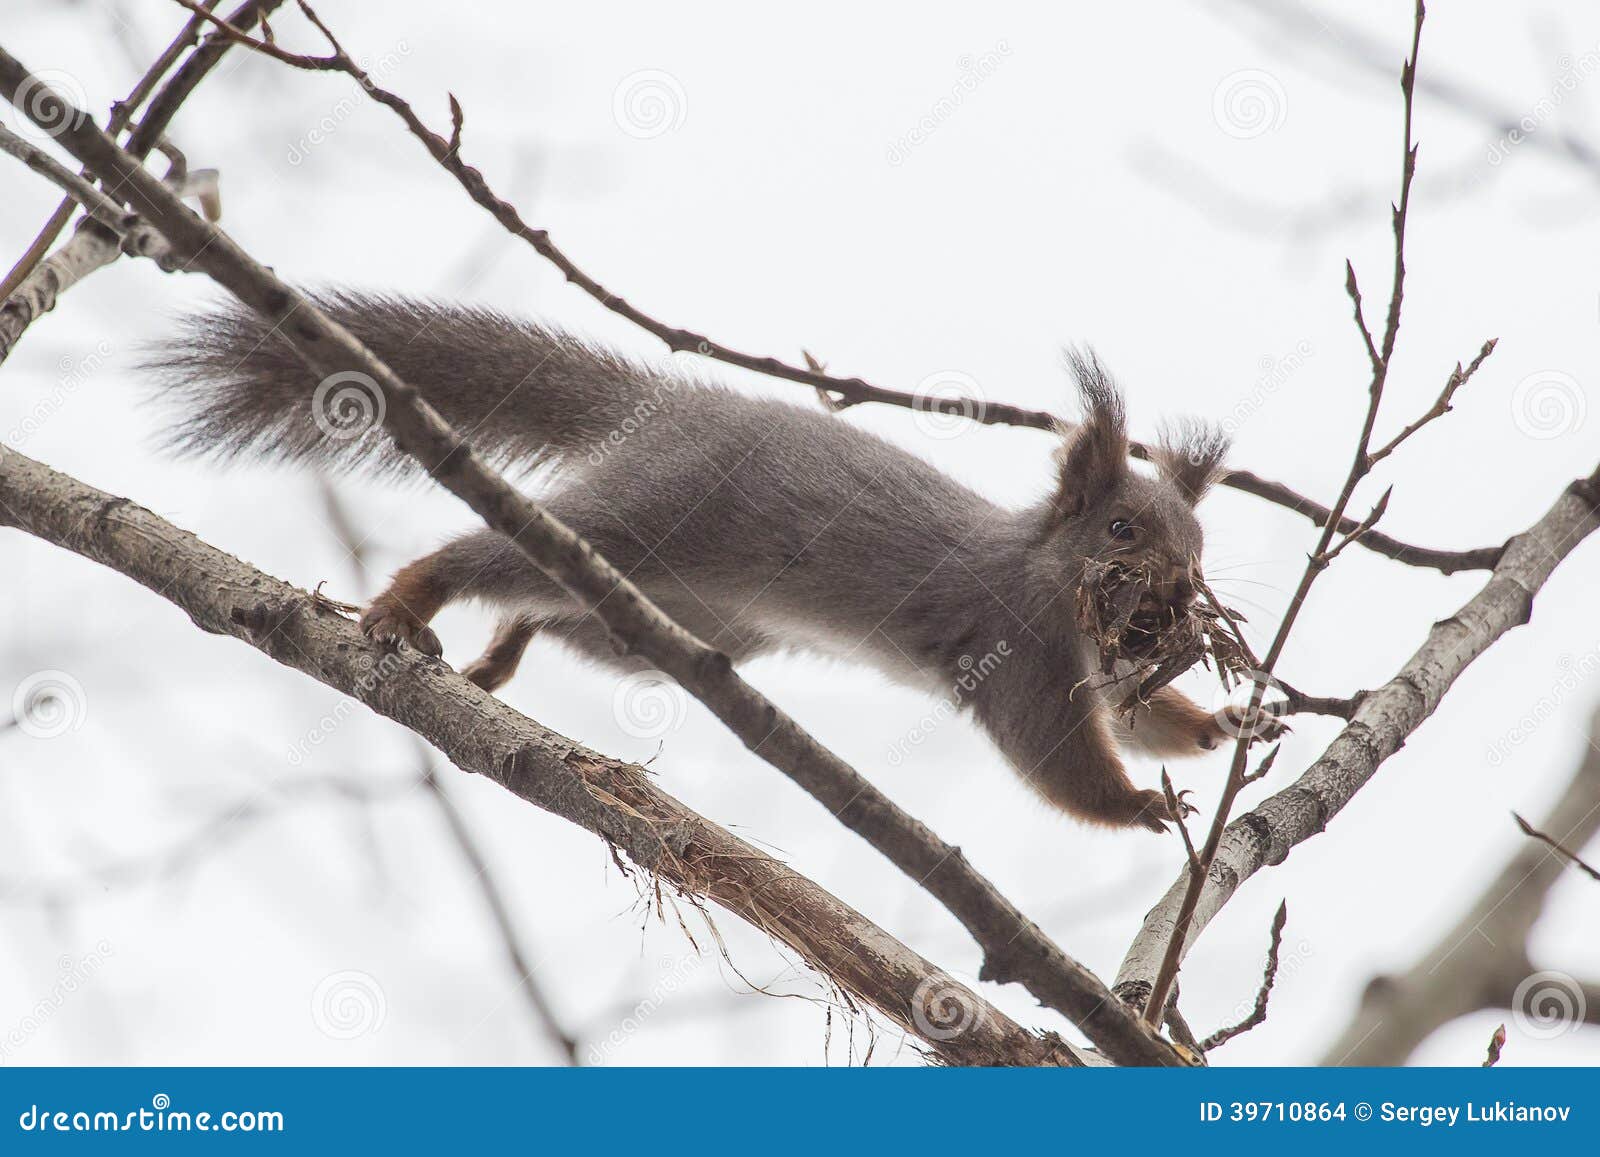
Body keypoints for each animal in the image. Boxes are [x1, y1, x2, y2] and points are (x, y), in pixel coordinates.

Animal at [154, 291, 1260, 833]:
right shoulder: (1015, 650)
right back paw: (405, 601)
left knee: (554, 616)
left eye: (1200, 549)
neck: (1051, 581)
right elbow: (1058, 757)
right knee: (487, 556)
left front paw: (1221, 725)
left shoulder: (1102, 663)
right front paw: (1138, 804)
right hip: (633, 523)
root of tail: (664, 405)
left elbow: (1139, 715)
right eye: (1122, 532)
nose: (1179, 603)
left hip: (664, 622)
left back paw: (501, 655)